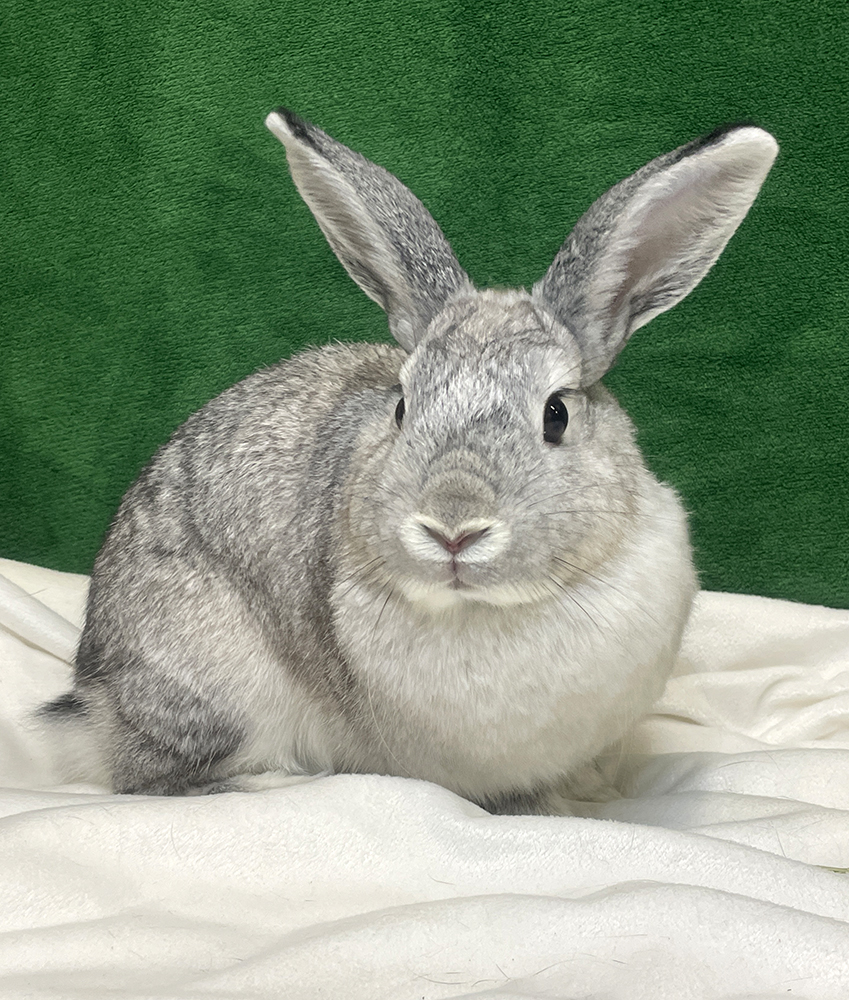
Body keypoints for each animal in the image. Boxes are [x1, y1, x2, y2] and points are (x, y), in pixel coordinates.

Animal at [39, 110, 778, 813]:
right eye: (401, 408)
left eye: (556, 415)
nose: (453, 528)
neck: (485, 607)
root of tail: (95, 702)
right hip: (207, 680)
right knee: (150, 777)